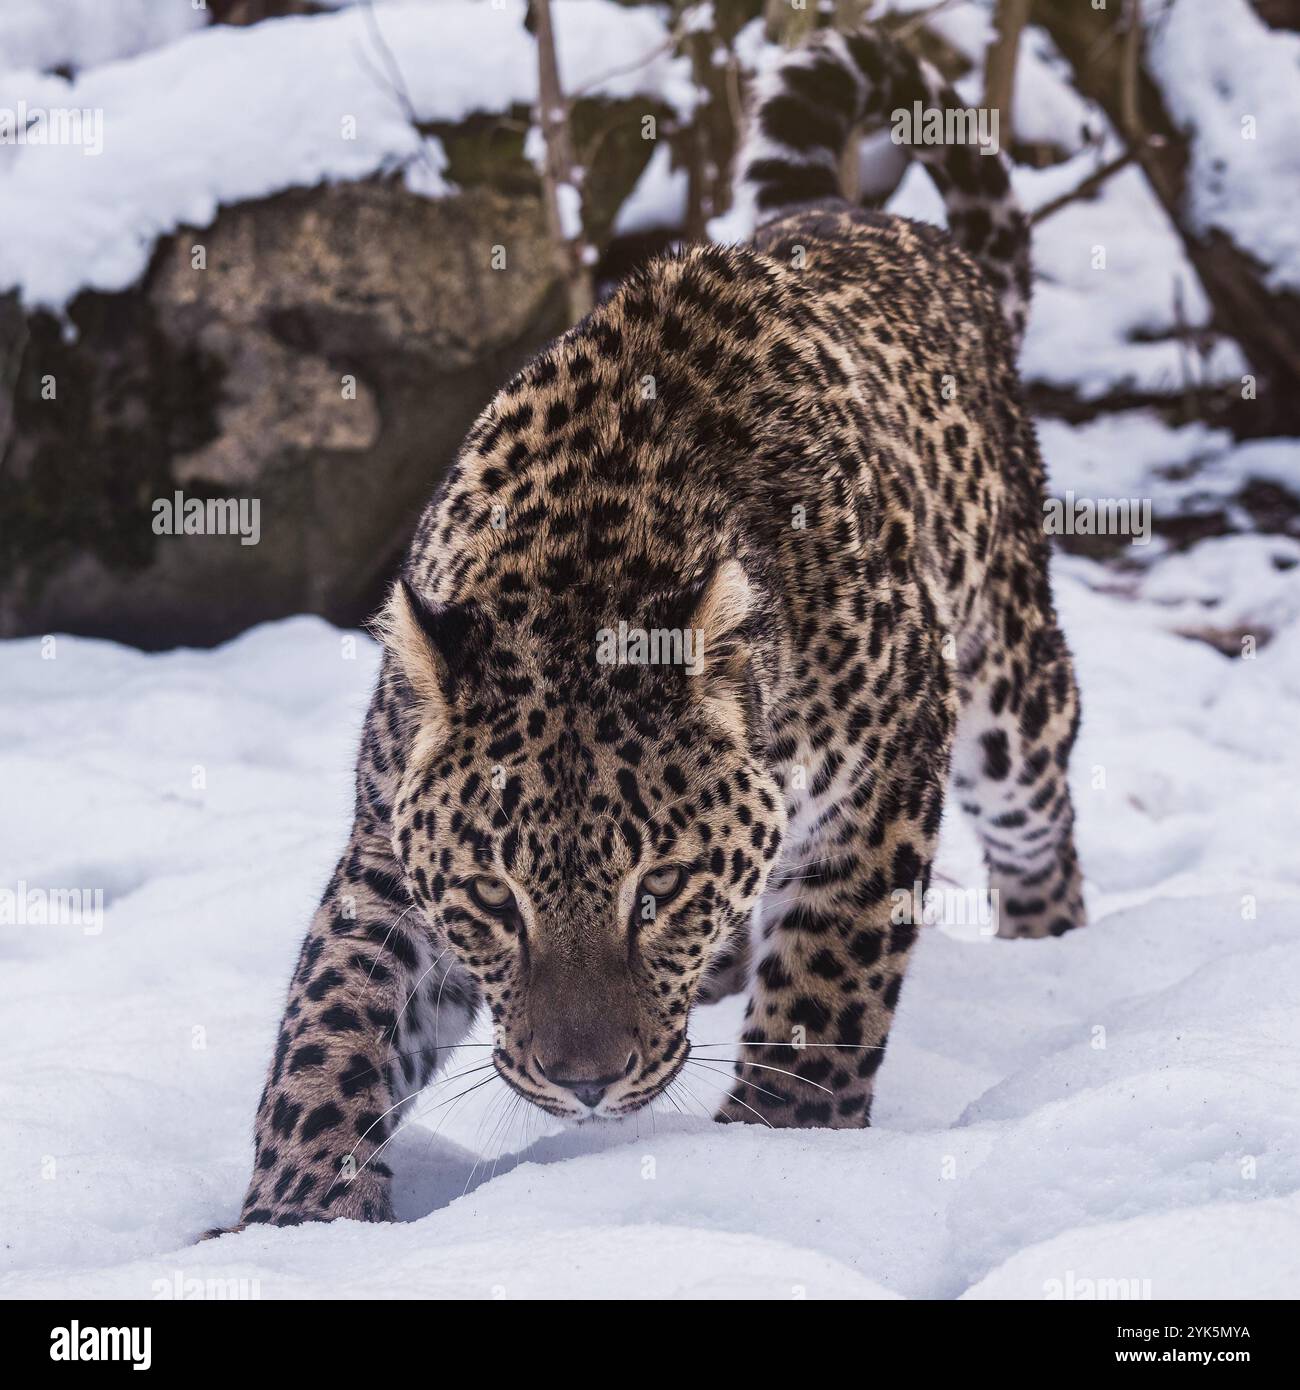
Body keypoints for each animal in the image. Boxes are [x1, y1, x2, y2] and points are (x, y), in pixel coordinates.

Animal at [213, 22, 1085, 1232]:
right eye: (496, 900)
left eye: (658, 890)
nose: (584, 1082)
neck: (588, 555)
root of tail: (881, 223)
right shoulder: (389, 845)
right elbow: (333, 1022)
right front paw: (299, 1216)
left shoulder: (887, 761)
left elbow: (827, 978)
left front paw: (777, 1146)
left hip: (1005, 688)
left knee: (1040, 815)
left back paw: (1055, 951)